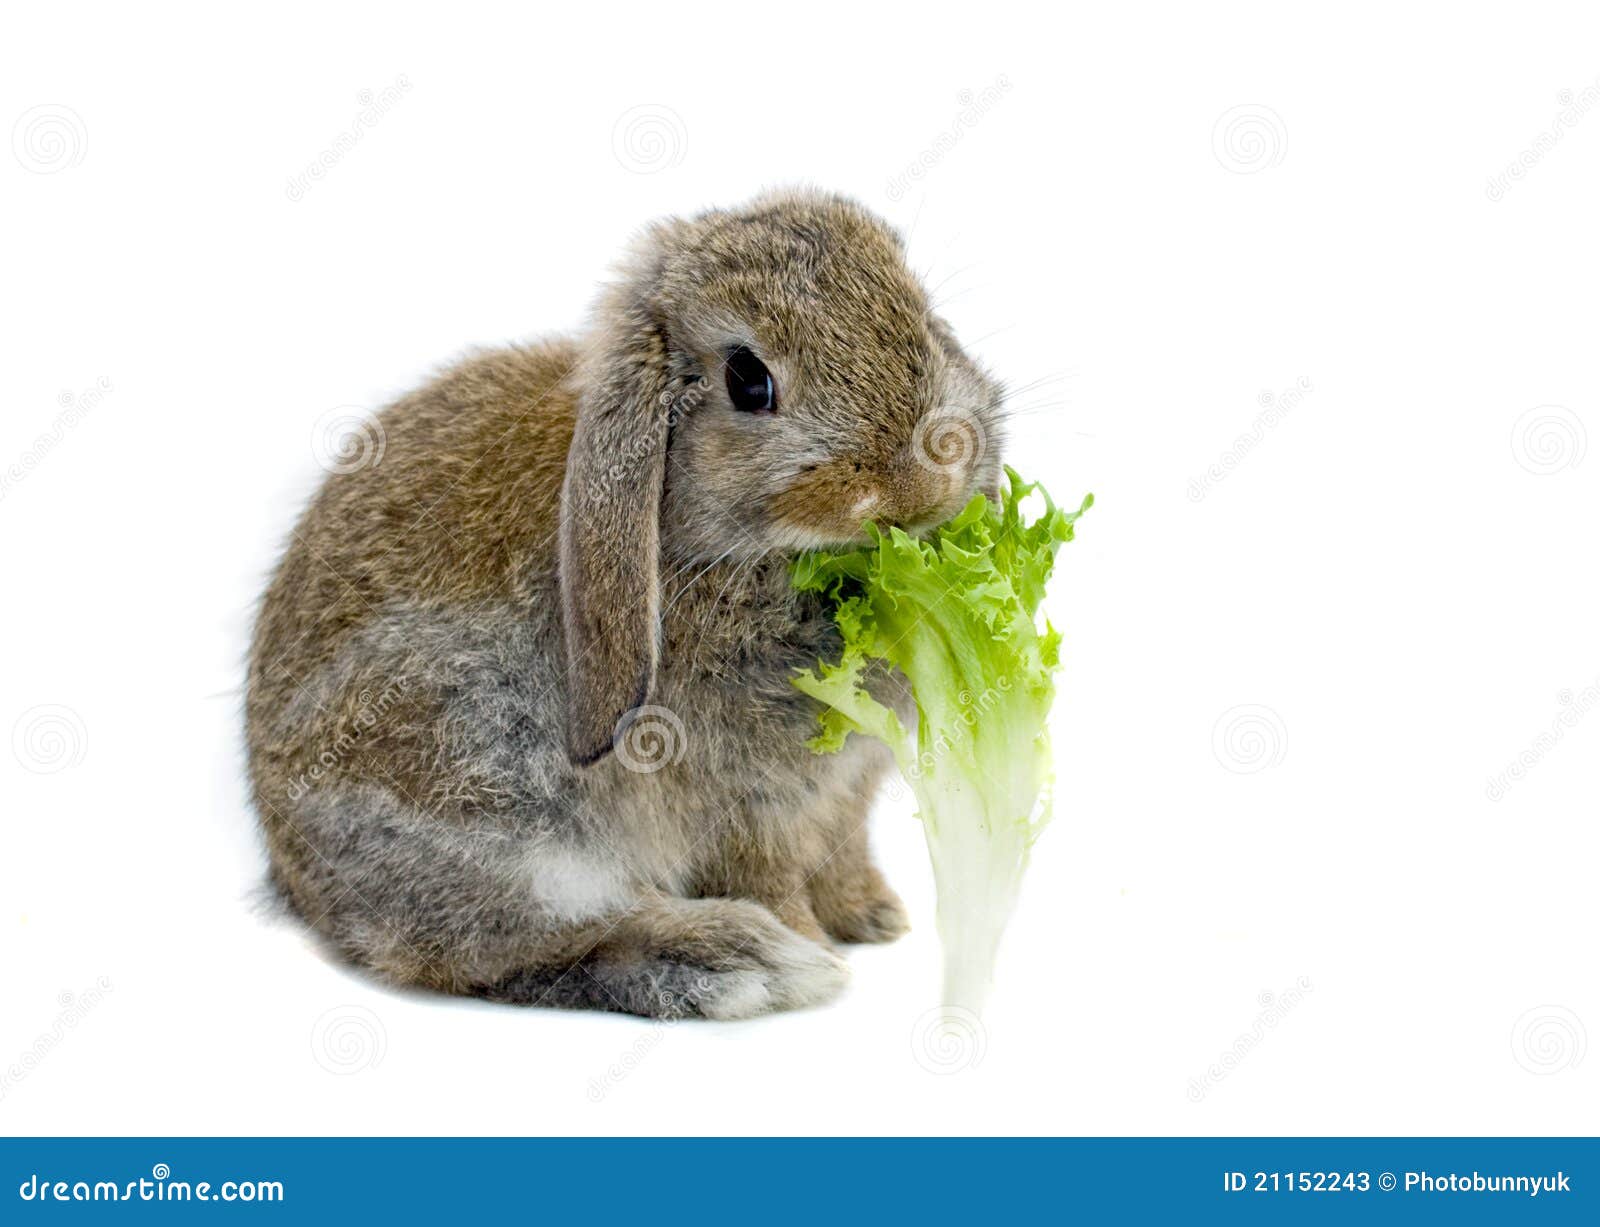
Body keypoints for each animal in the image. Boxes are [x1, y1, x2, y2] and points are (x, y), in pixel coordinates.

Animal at [245, 188, 1005, 1018]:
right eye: (748, 380)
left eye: (925, 315)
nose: (923, 484)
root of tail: (295, 871)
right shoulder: (744, 808)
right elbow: (767, 872)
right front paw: (815, 939)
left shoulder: (844, 794)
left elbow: (843, 852)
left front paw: (875, 918)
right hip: (486, 796)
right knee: (499, 946)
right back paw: (746, 958)